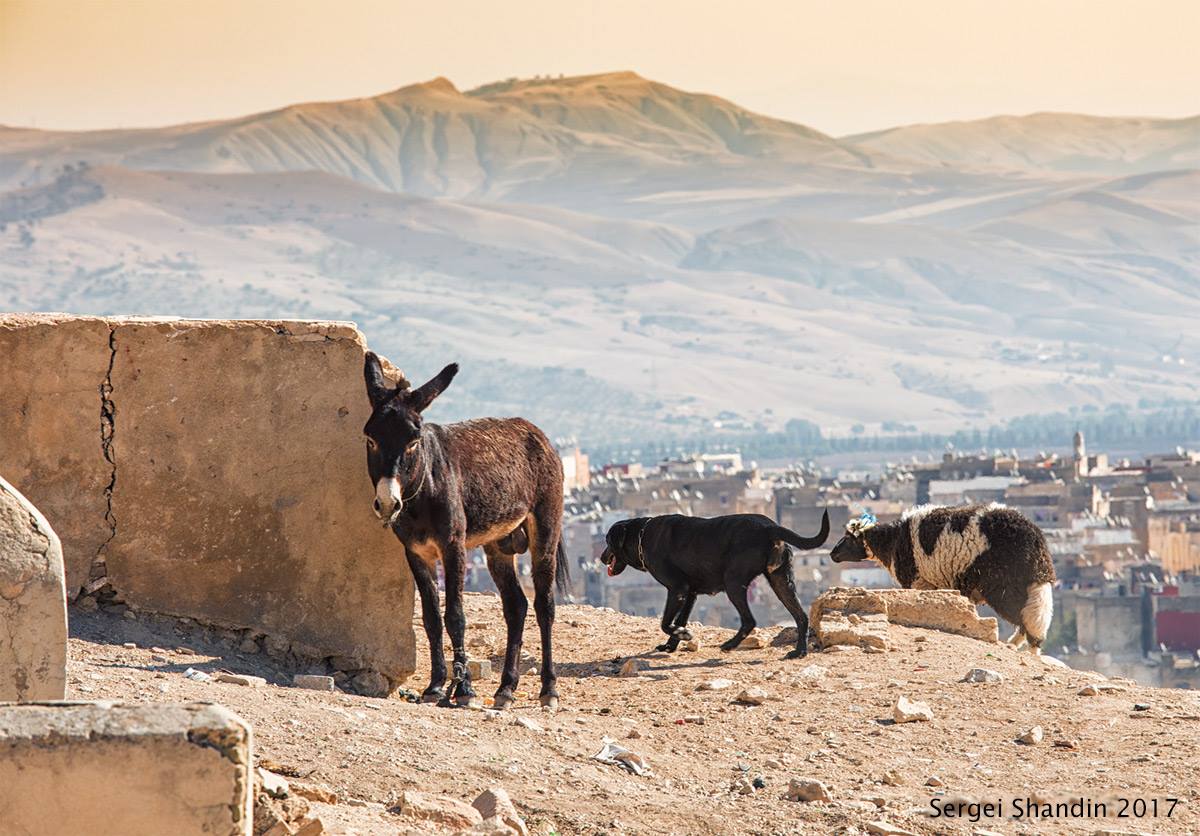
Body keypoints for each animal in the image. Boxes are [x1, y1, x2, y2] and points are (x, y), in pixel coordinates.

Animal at [604, 508, 830, 657]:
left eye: (607, 541)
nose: (601, 557)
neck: (642, 535)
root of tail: (770, 527)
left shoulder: (677, 590)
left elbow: (666, 623)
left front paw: (683, 635)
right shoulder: (690, 594)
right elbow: (679, 620)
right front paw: (671, 645)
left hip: (734, 583)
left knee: (749, 621)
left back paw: (730, 645)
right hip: (781, 581)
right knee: (800, 616)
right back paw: (800, 651)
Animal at [830, 501, 1056, 652]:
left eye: (849, 538)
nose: (832, 554)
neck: (891, 542)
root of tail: (1036, 543)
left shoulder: (916, 581)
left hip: (1003, 586)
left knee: (1028, 618)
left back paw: (1028, 649)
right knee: (1030, 616)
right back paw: (1016, 645)